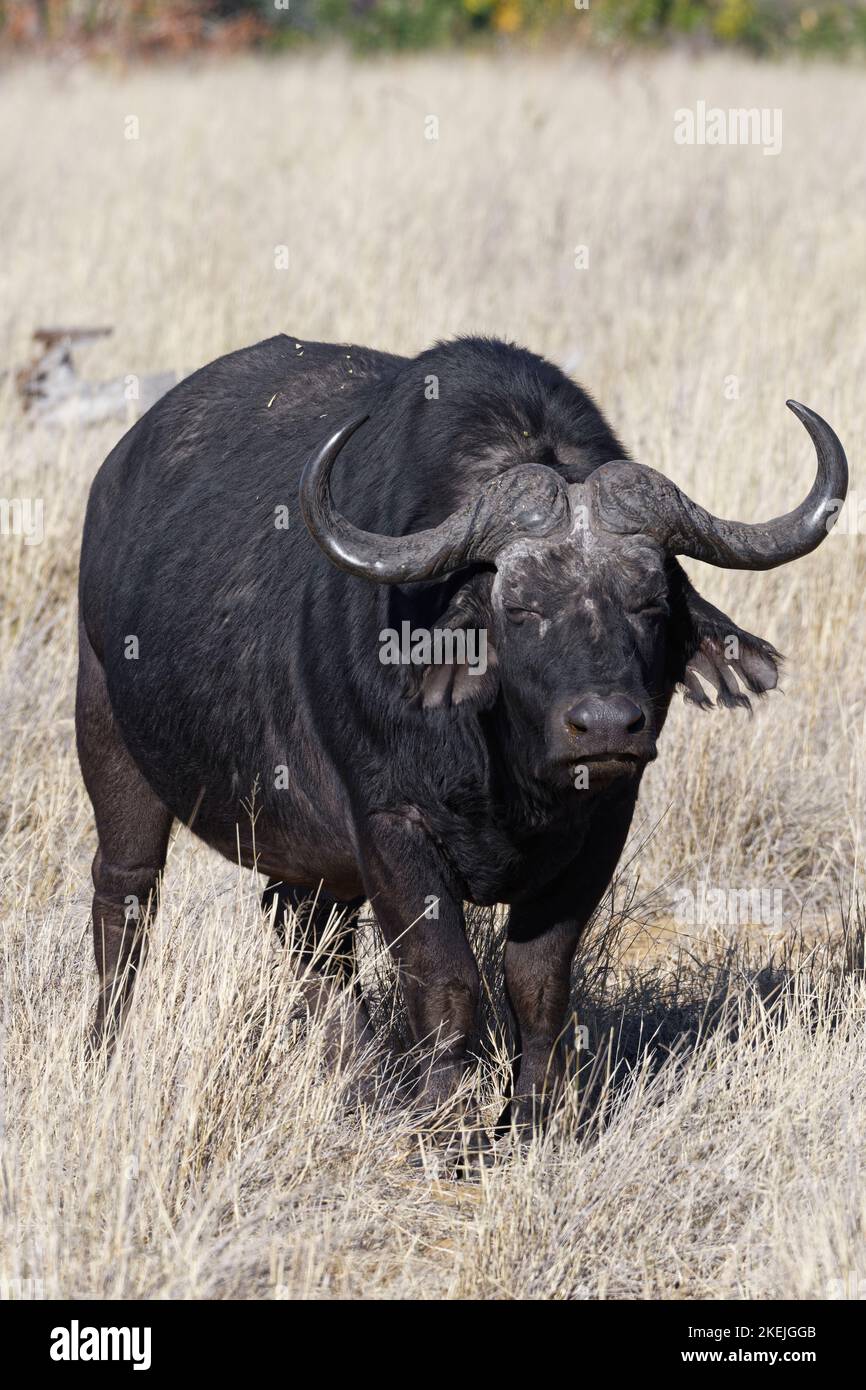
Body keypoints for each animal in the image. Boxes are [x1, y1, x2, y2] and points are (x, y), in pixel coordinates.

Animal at [77, 334, 847, 1150]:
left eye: (650, 602)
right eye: (521, 608)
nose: (607, 725)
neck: (508, 771)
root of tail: (116, 473)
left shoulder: (602, 828)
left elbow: (537, 980)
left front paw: (536, 1116)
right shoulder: (391, 828)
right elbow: (445, 979)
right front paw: (444, 1124)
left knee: (304, 929)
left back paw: (356, 1082)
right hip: (107, 735)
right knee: (126, 895)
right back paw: (109, 1048)